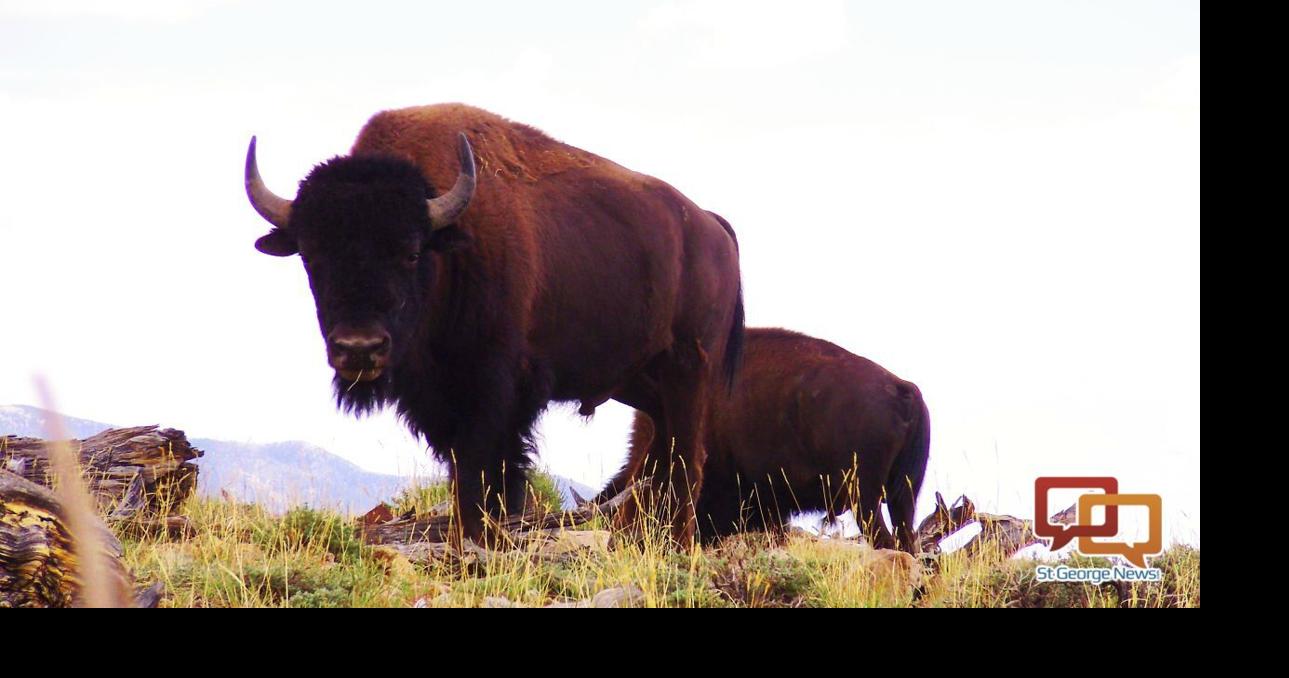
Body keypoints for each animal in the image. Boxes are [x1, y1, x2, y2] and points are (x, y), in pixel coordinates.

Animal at [245, 104, 744, 544]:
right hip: (642, 382)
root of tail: (710, 227)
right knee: (662, 452)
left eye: (411, 252)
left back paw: (678, 543)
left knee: (688, 458)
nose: (359, 348)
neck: (449, 247)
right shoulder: (437, 400)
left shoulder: (492, 389)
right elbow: (464, 469)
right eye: (312, 256)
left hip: (688, 369)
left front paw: (476, 540)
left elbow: (483, 470)